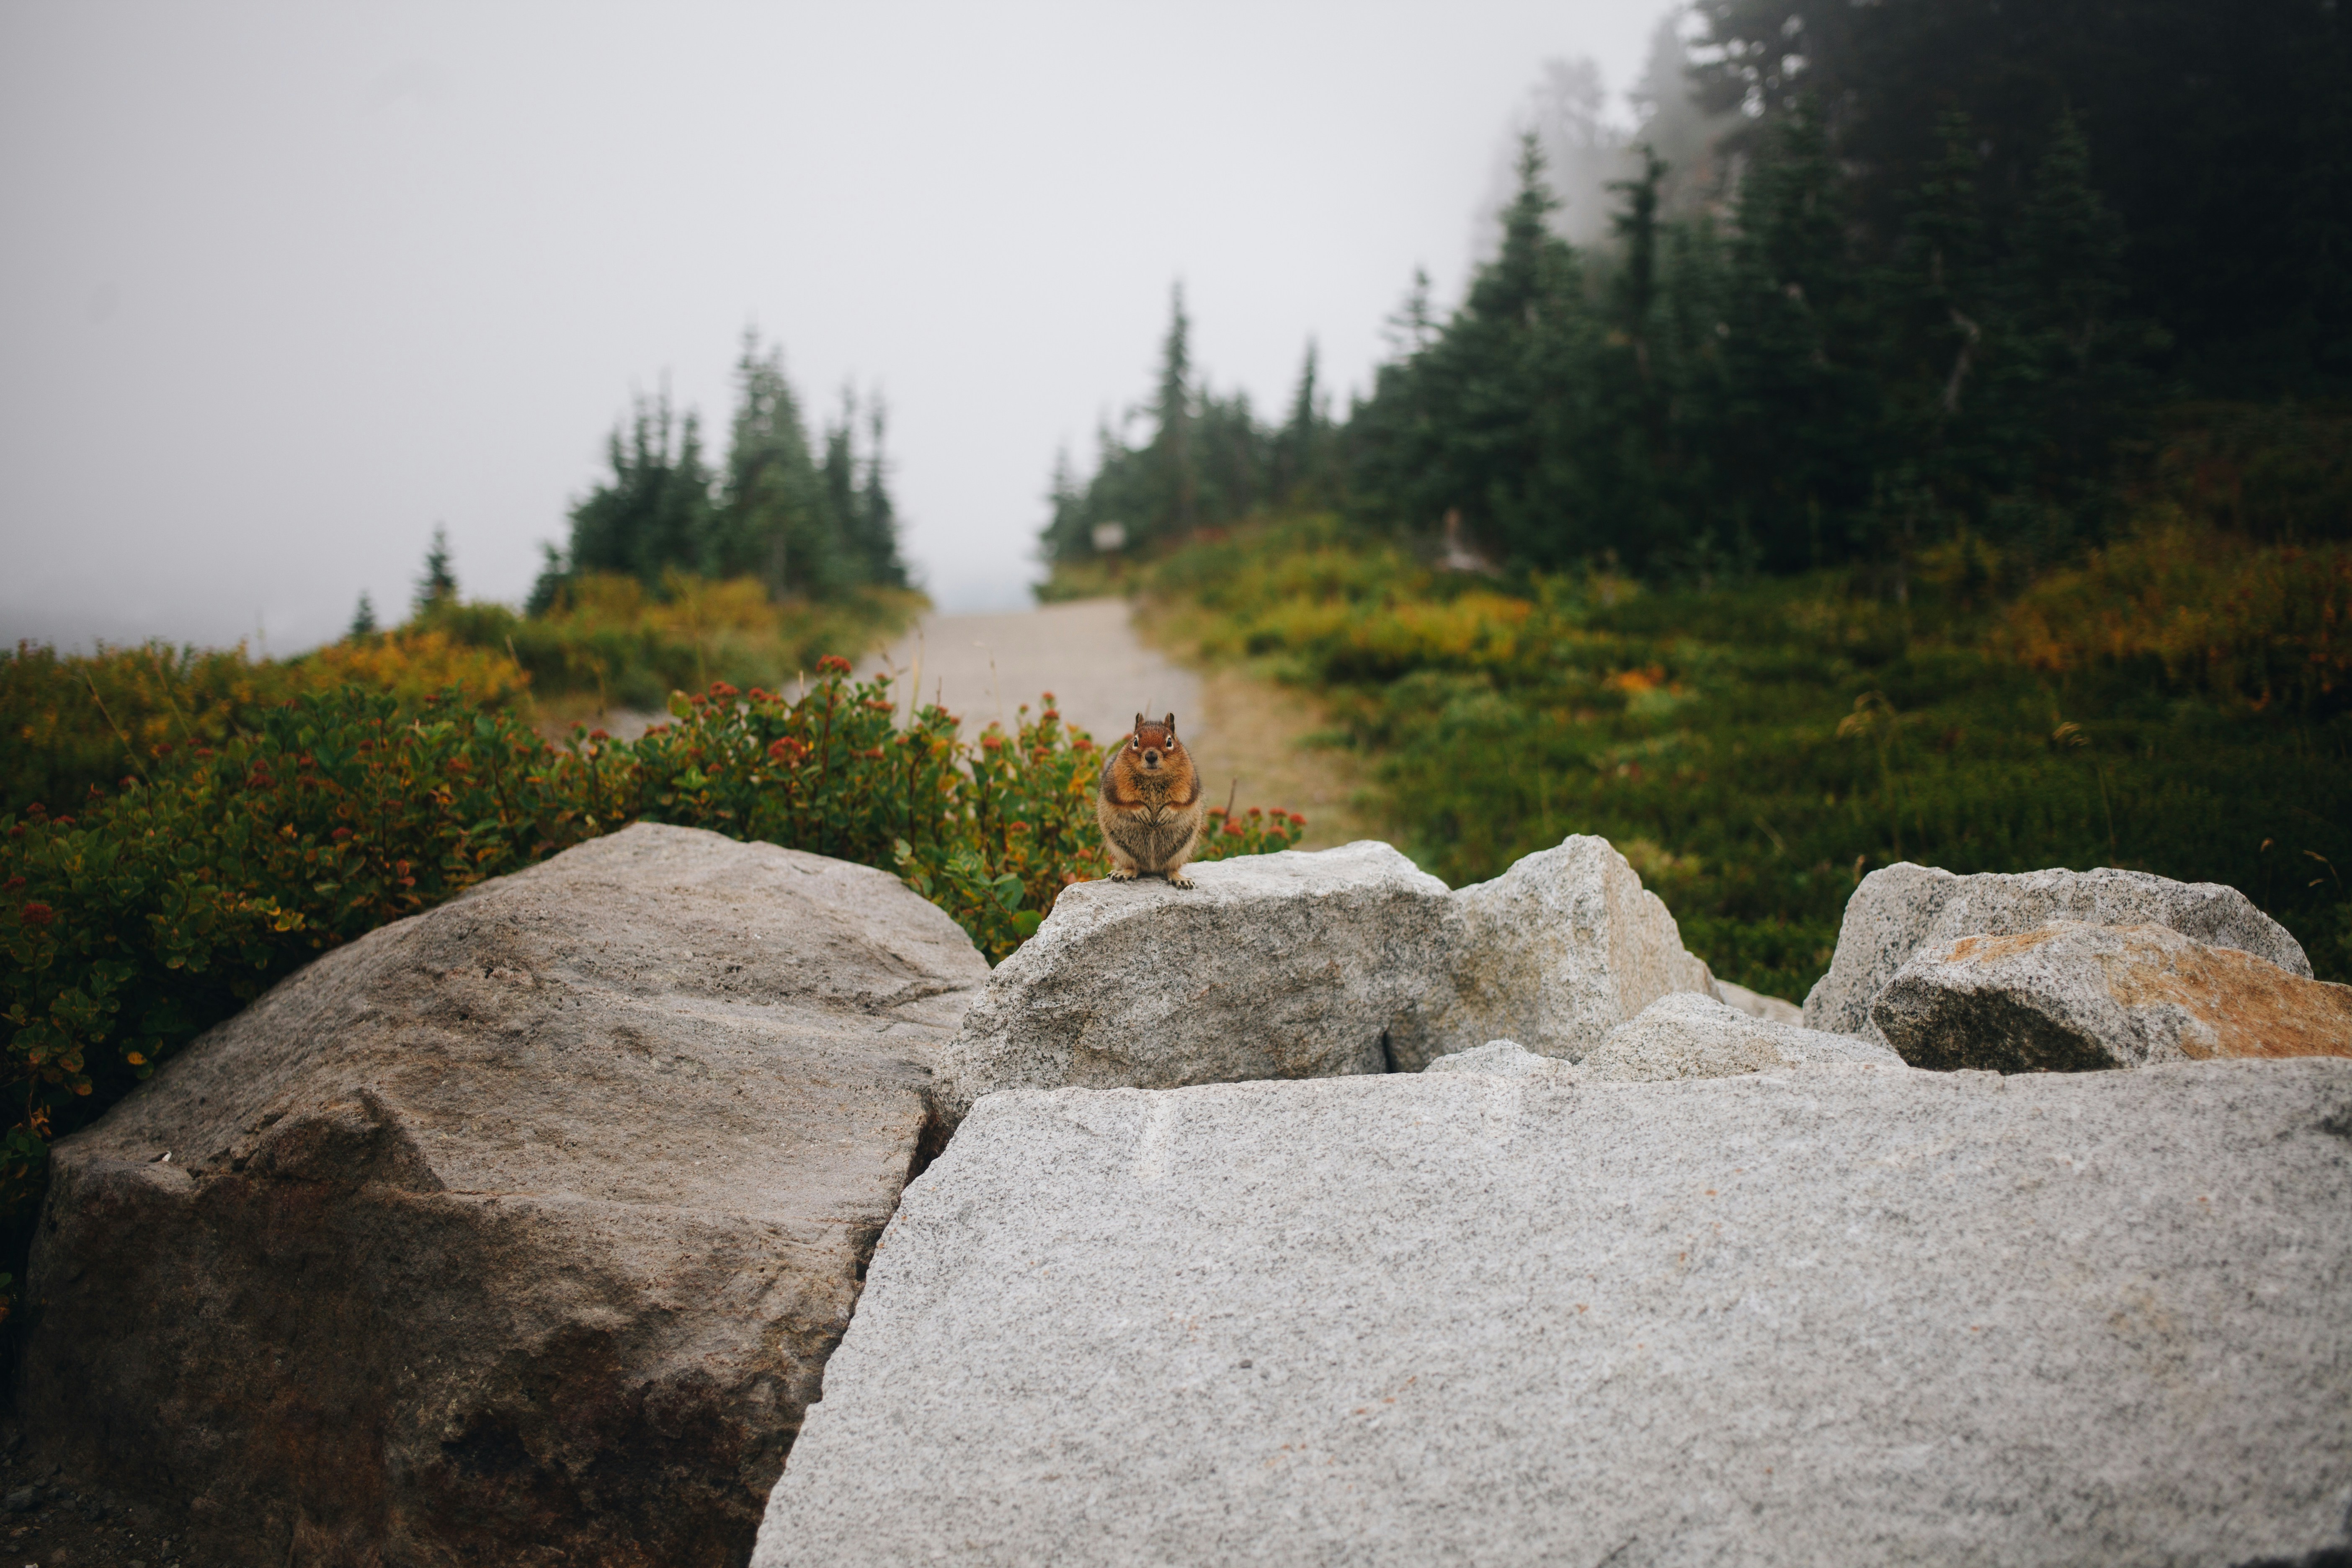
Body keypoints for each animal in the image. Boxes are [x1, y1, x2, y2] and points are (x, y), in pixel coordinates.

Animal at [1097, 712, 1206, 888]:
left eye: (1169, 742)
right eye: (1135, 741)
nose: (1151, 756)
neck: (1153, 778)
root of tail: (1152, 868)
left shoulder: (1188, 785)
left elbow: (1180, 802)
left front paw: (1167, 812)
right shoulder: (1115, 784)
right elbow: (1126, 801)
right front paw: (1141, 811)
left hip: (1181, 853)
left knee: (1169, 869)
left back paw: (1180, 879)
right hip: (1122, 851)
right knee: (1134, 867)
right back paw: (1123, 873)